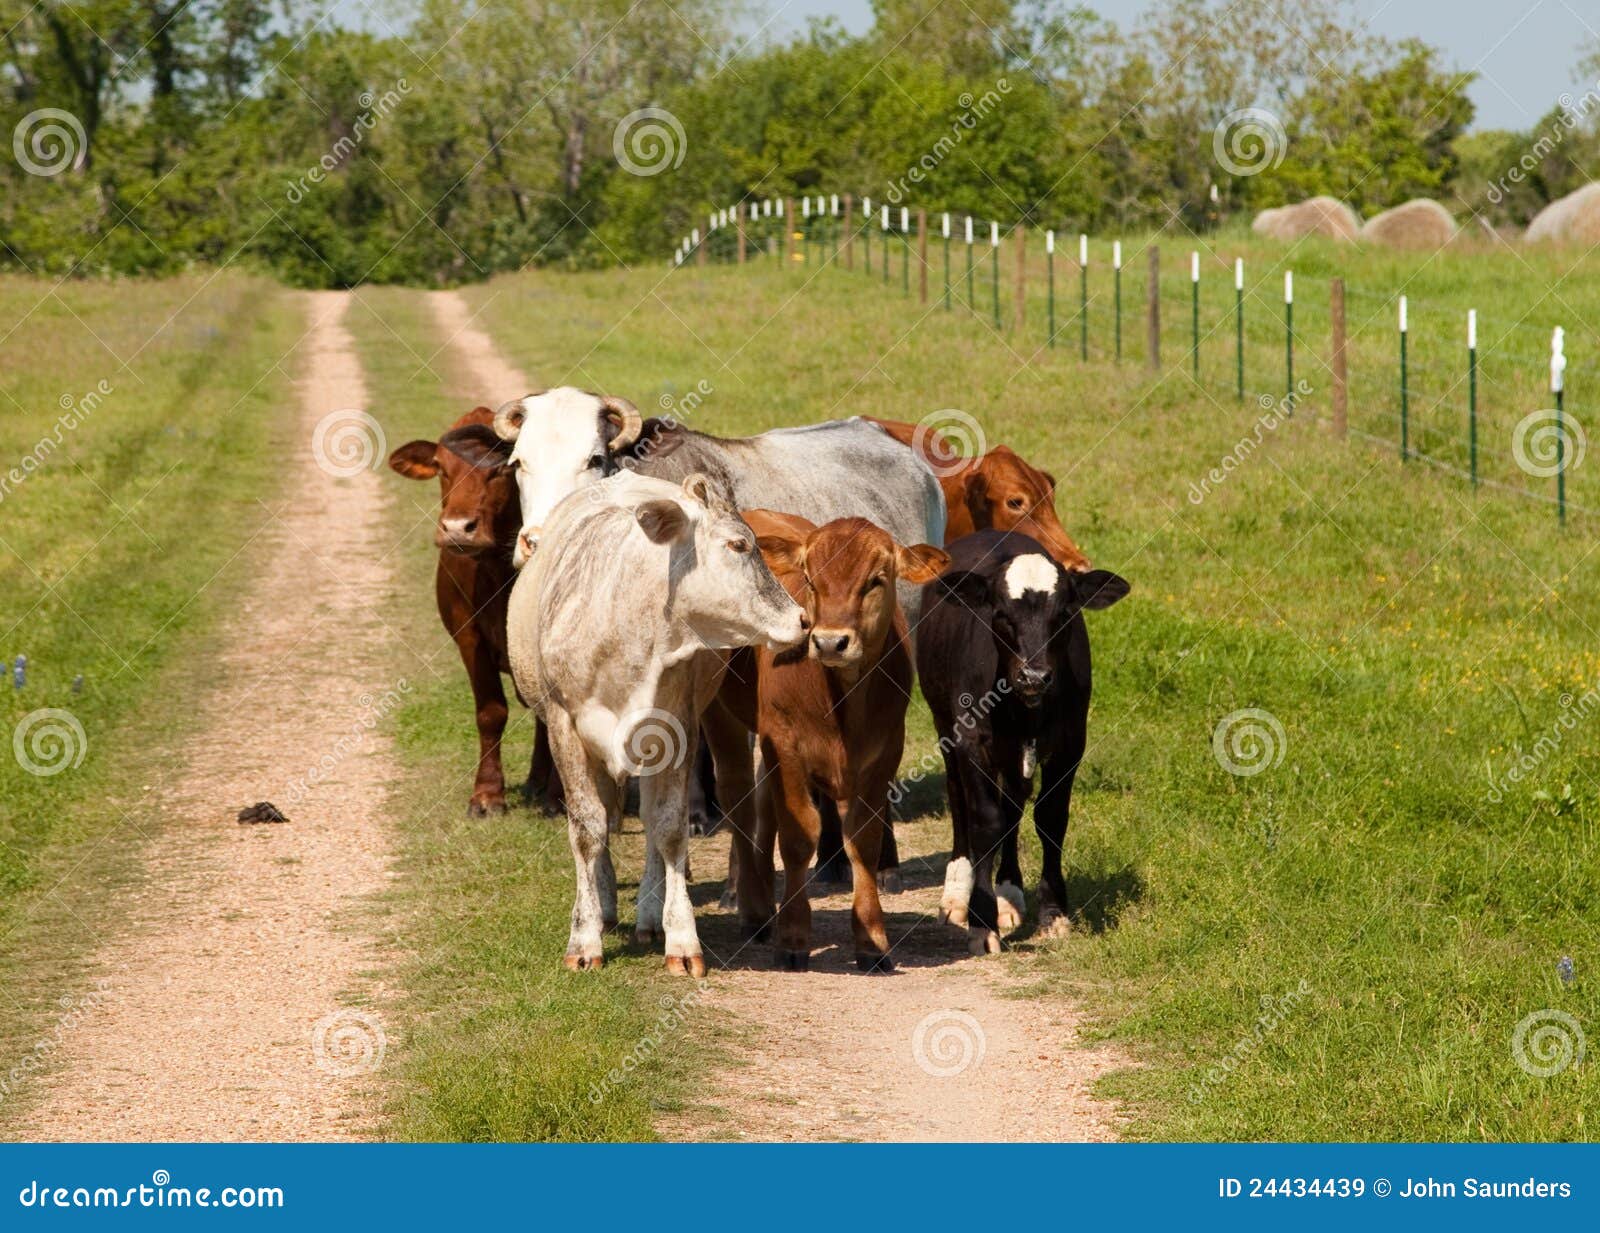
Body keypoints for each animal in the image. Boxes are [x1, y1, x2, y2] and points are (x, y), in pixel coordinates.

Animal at [387, 409, 560, 816]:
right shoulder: (470, 638)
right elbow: (491, 712)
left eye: (502, 469)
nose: (457, 529)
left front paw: (557, 796)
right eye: (439, 466)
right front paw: (487, 795)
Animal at [506, 469, 808, 975]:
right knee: (606, 818)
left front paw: (681, 939)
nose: (803, 619)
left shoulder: (676, 729)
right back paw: (606, 906)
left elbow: (666, 827)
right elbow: (587, 829)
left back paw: (648, 914)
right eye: (739, 544)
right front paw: (584, 937)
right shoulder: (565, 728)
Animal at [708, 512, 949, 972]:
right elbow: (799, 837)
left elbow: (864, 840)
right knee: (739, 802)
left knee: (761, 807)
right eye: (808, 579)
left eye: (876, 580)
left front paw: (872, 941)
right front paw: (793, 937)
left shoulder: (884, 752)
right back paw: (753, 909)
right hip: (723, 716)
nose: (830, 641)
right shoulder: (784, 744)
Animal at [915, 531, 1128, 955]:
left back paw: (1009, 894)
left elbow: (1050, 817)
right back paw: (957, 894)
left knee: (1013, 807)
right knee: (959, 798)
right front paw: (981, 922)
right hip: (943, 722)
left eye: (1063, 614)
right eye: (1000, 614)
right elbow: (984, 820)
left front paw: (1053, 913)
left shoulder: (1070, 743)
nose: (1033, 676)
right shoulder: (972, 741)